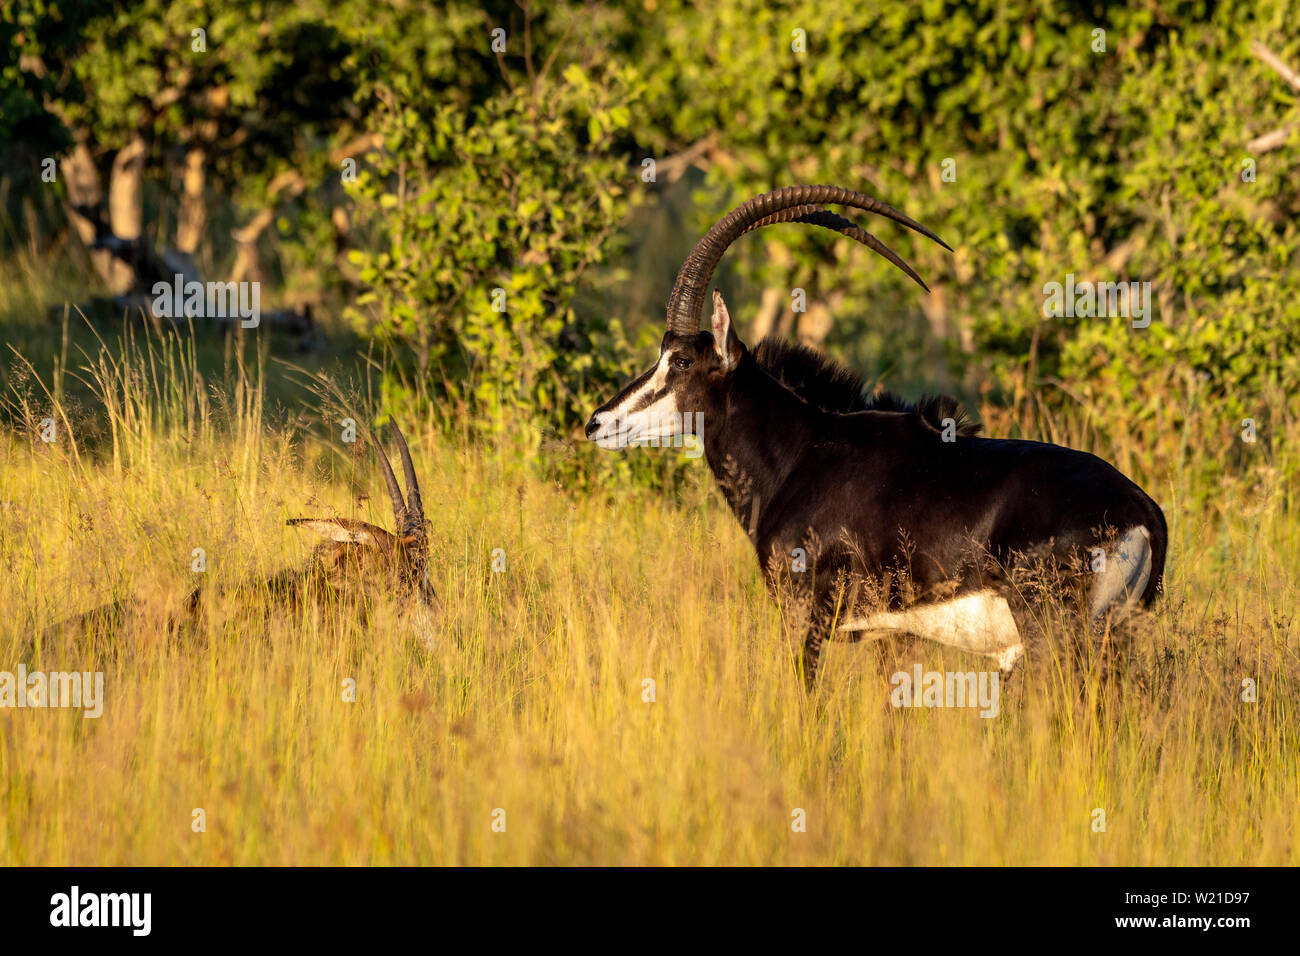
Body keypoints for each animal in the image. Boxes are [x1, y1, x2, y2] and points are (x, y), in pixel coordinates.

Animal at [586, 185, 1167, 684]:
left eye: (681, 361)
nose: (597, 422)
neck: (801, 451)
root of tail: (1144, 510)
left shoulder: (806, 614)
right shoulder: (892, 635)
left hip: (1052, 631)